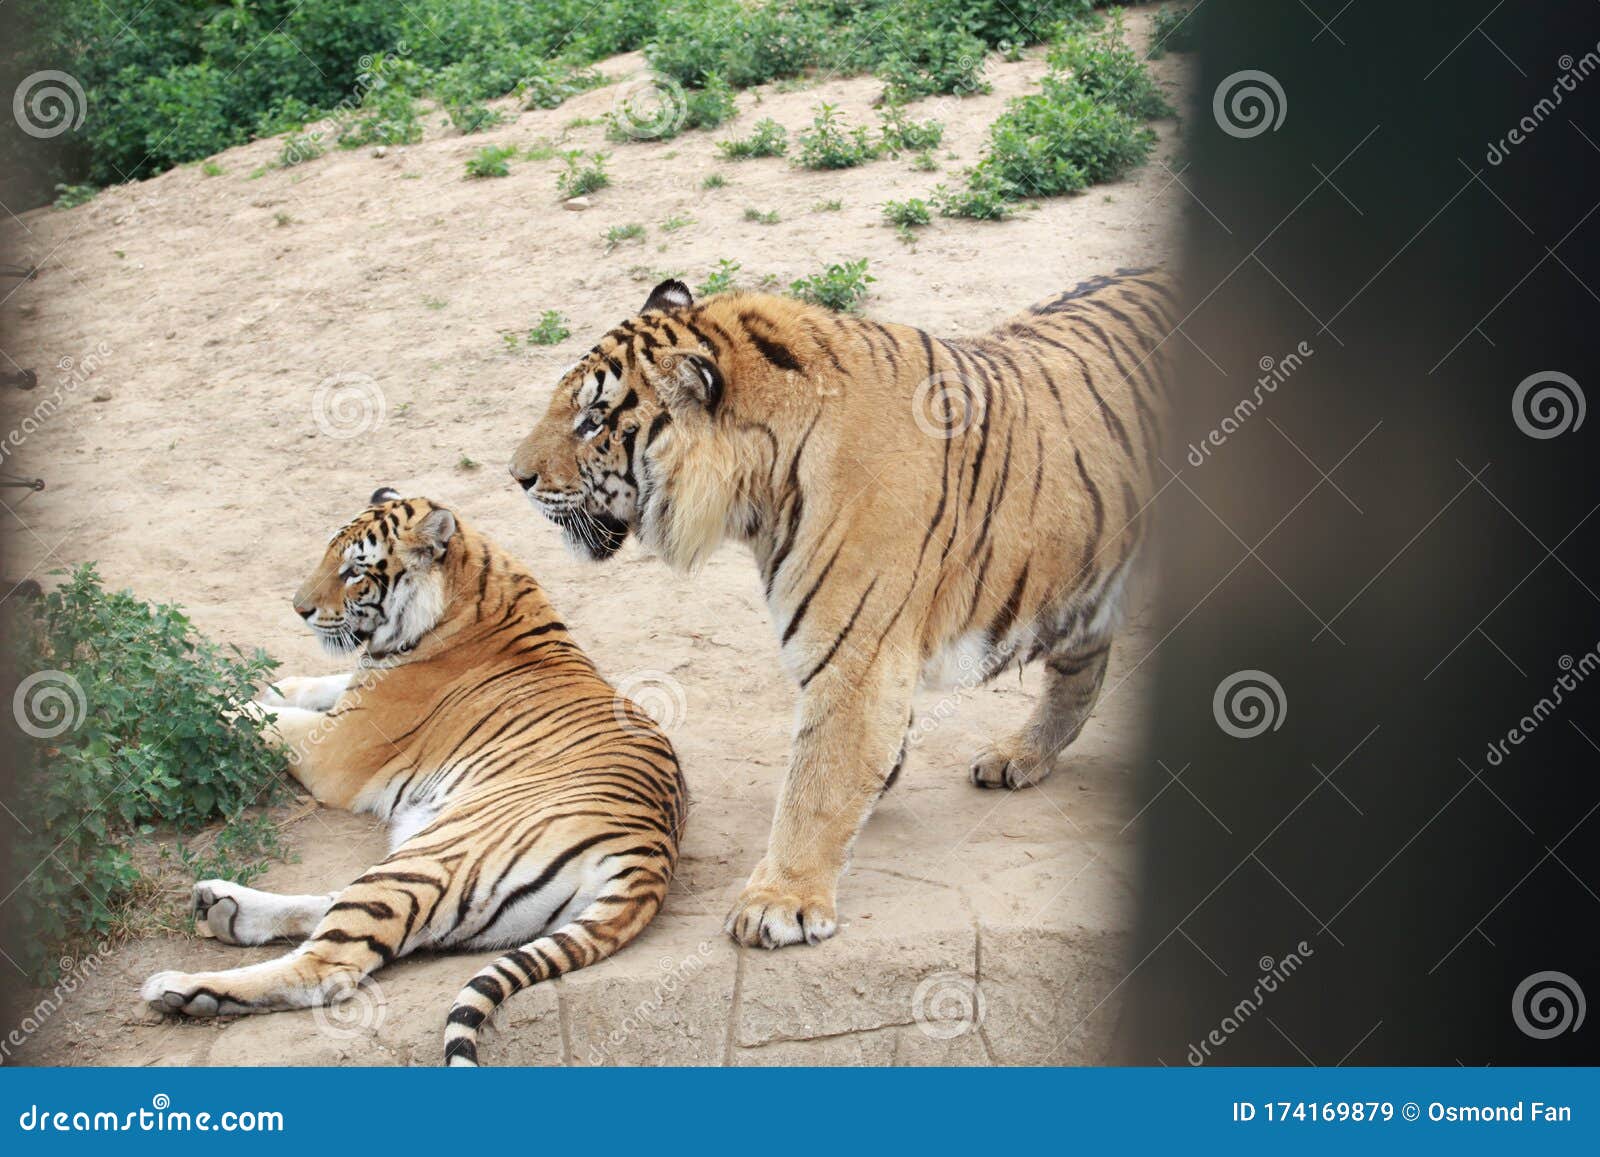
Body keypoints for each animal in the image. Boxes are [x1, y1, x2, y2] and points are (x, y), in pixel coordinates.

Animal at [139, 489, 687, 1066]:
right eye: (327, 554)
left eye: (354, 570)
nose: (299, 609)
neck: (471, 588)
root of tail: (651, 856)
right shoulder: (353, 694)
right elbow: (316, 686)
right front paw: (276, 685)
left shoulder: (334, 748)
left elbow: (258, 718)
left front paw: (189, 702)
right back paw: (222, 906)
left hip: (437, 852)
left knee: (329, 968)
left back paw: (181, 987)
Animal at [508, 268, 1175, 950]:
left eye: (592, 420)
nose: (516, 477)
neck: (761, 491)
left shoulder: (856, 657)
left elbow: (816, 782)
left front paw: (778, 902)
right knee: (1082, 672)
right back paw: (1021, 755)